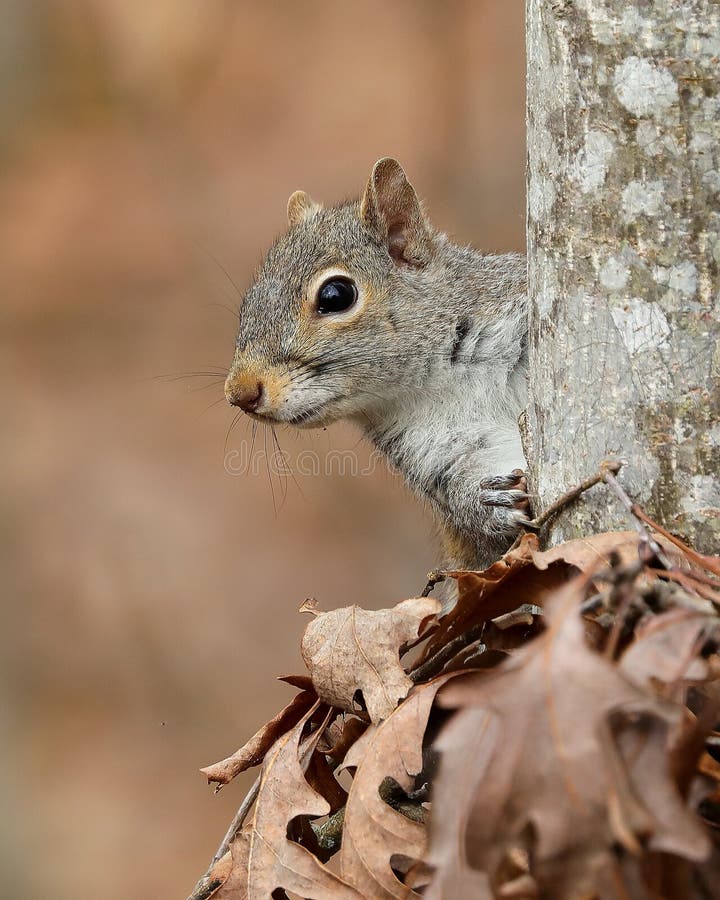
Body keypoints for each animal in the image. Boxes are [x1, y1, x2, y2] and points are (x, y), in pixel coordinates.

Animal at [224, 158, 530, 576]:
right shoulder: (432, 450)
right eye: (247, 304)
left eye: (335, 295)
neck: (447, 377)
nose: (239, 393)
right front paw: (483, 503)